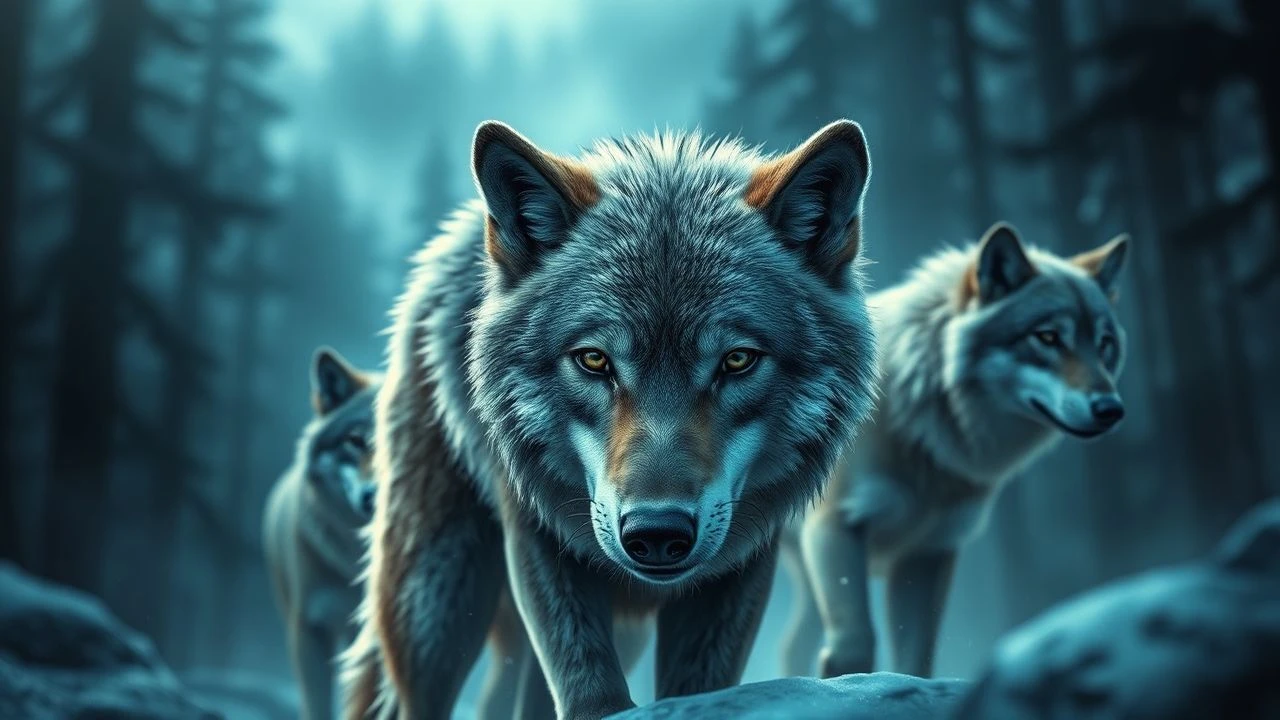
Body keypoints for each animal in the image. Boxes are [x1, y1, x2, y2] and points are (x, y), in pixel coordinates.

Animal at [341, 118, 880, 720]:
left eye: (737, 360)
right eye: (595, 360)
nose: (657, 533)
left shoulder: (742, 562)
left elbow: (699, 688)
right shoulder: (535, 534)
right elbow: (589, 688)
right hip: (436, 605)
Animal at [779, 222, 1130, 680]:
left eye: (1104, 344)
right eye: (1048, 337)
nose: (1110, 409)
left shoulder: (927, 553)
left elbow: (916, 659)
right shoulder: (833, 527)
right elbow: (854, 647)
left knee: (789, 644)